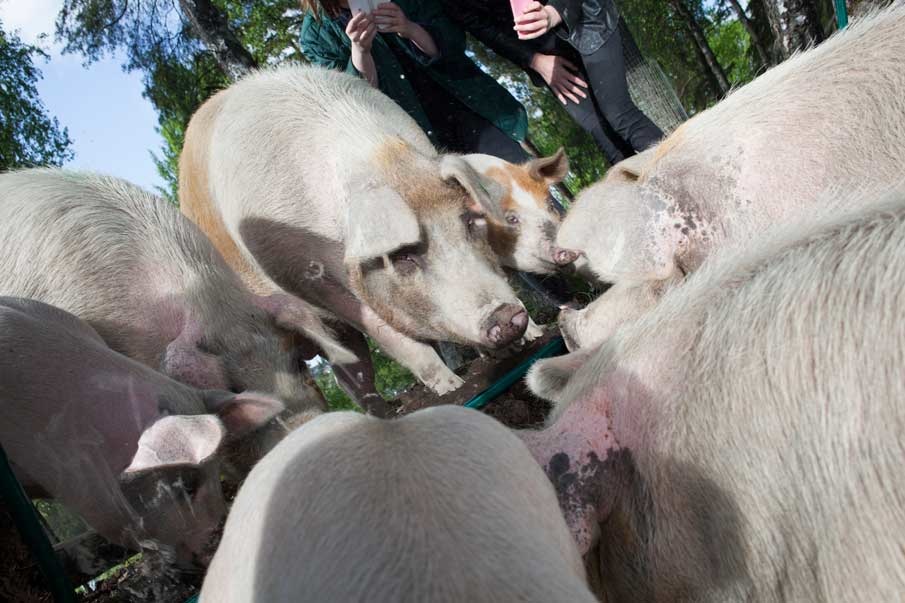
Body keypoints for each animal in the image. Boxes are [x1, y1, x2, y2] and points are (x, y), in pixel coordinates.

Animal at [179, 65, 535, 414]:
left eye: (468, 221)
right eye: (404, 256)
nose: (507, 316)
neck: (382, 162)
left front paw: (530, 340)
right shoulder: (311, 281)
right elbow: (390, 335)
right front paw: (453, 388)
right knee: (347, 375)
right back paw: (383, 412)